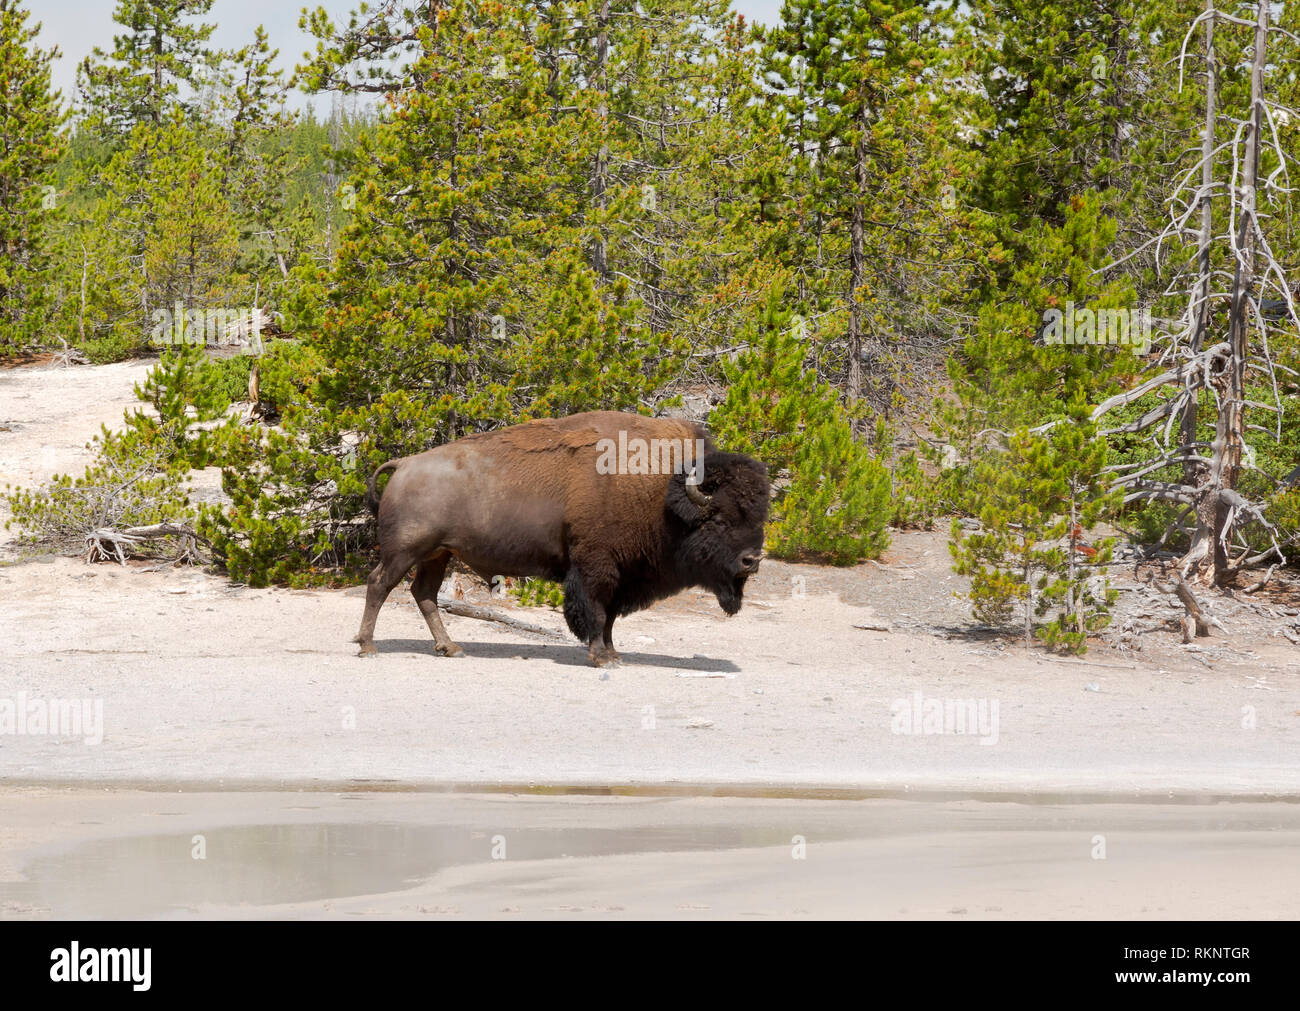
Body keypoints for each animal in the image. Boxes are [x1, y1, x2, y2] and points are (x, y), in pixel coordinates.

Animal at [354, 410, 769, 666]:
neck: (662, 490)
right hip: (404, 551)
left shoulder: (619, 575)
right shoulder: (595, 567)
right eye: (719, 518)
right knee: (379, 585)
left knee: (423, 593)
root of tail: (405, 464)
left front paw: (613, 654)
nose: (752, 561)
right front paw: (601, 657)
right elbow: (597, 613)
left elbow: (610, 618)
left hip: (437, 554)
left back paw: (451, 648)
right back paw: (368, 647)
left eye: (759, 514)